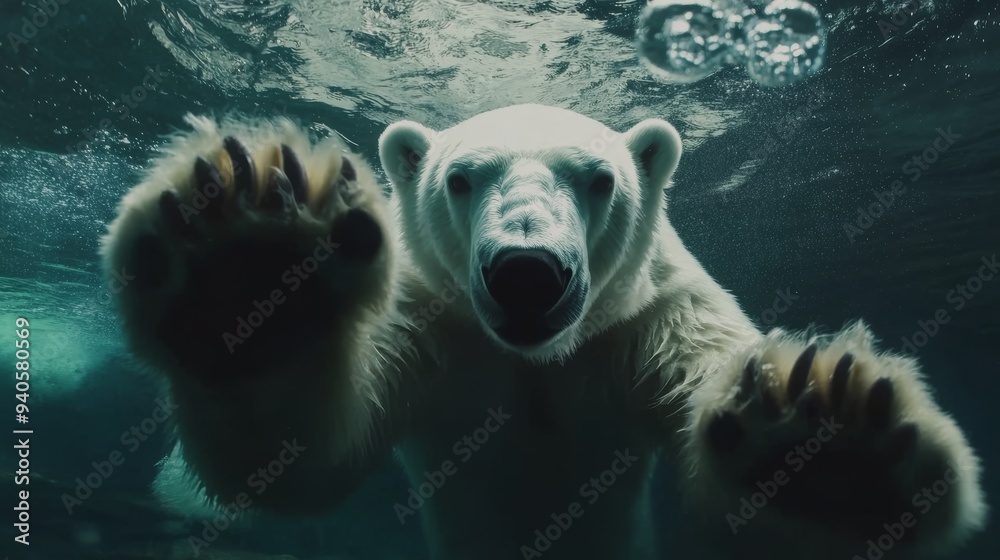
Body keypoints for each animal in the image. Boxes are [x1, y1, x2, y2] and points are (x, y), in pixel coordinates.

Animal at [101, 104, 986, 560]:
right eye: (462, 178)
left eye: (596, 179)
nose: (527, 272)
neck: (534, 360)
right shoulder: (437, 327)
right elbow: (305, 460)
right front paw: (245, 258)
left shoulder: (646, 323)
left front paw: (832, 438)